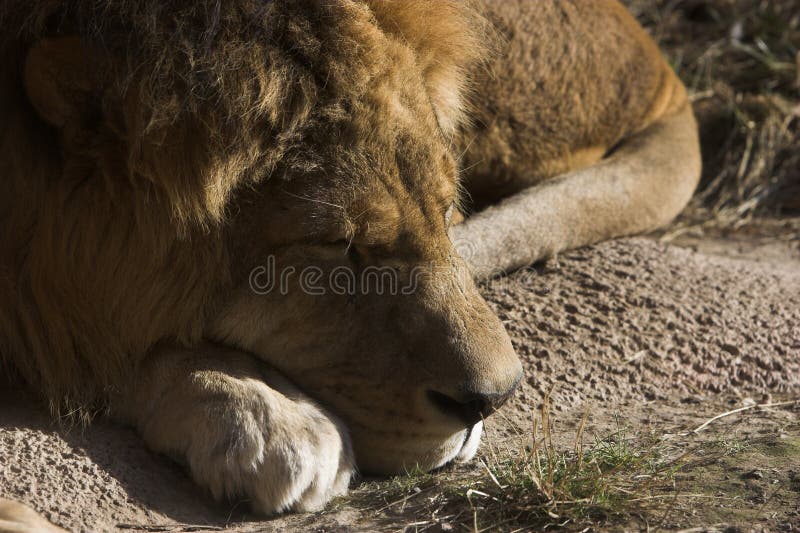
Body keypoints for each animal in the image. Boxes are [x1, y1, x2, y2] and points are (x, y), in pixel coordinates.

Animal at [0, 0, 700, 529]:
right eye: (338, 246)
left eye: (448, 210)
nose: (493, 402)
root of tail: (665, 75)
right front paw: (269, 417)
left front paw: (261, 413)